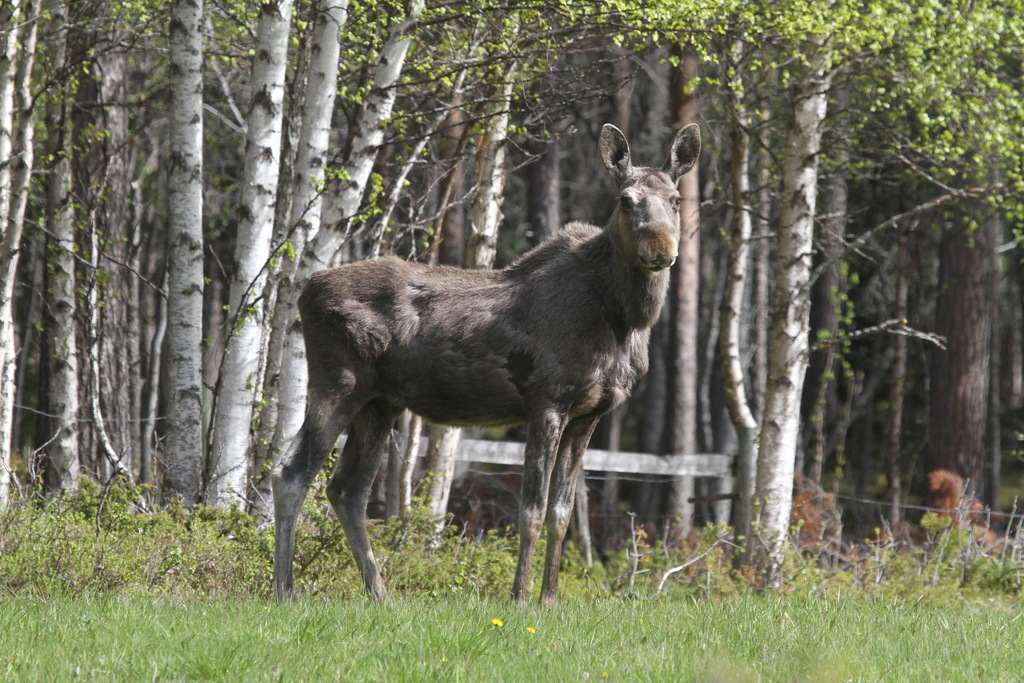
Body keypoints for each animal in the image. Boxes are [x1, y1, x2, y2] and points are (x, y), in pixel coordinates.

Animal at [272, 122, 701, 605]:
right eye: (626, 200)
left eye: (676, 200)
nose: (660, 250)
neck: (625, 321)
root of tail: (304, 292)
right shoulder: (547, 401)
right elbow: (531, 512)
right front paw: (520, 598)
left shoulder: (589, 413)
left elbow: (562, 514)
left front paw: (550, 598)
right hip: (337, 383)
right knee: (290, 476)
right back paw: (284, 589)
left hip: (380, 403)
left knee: (347, 489)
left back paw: (380, 592)